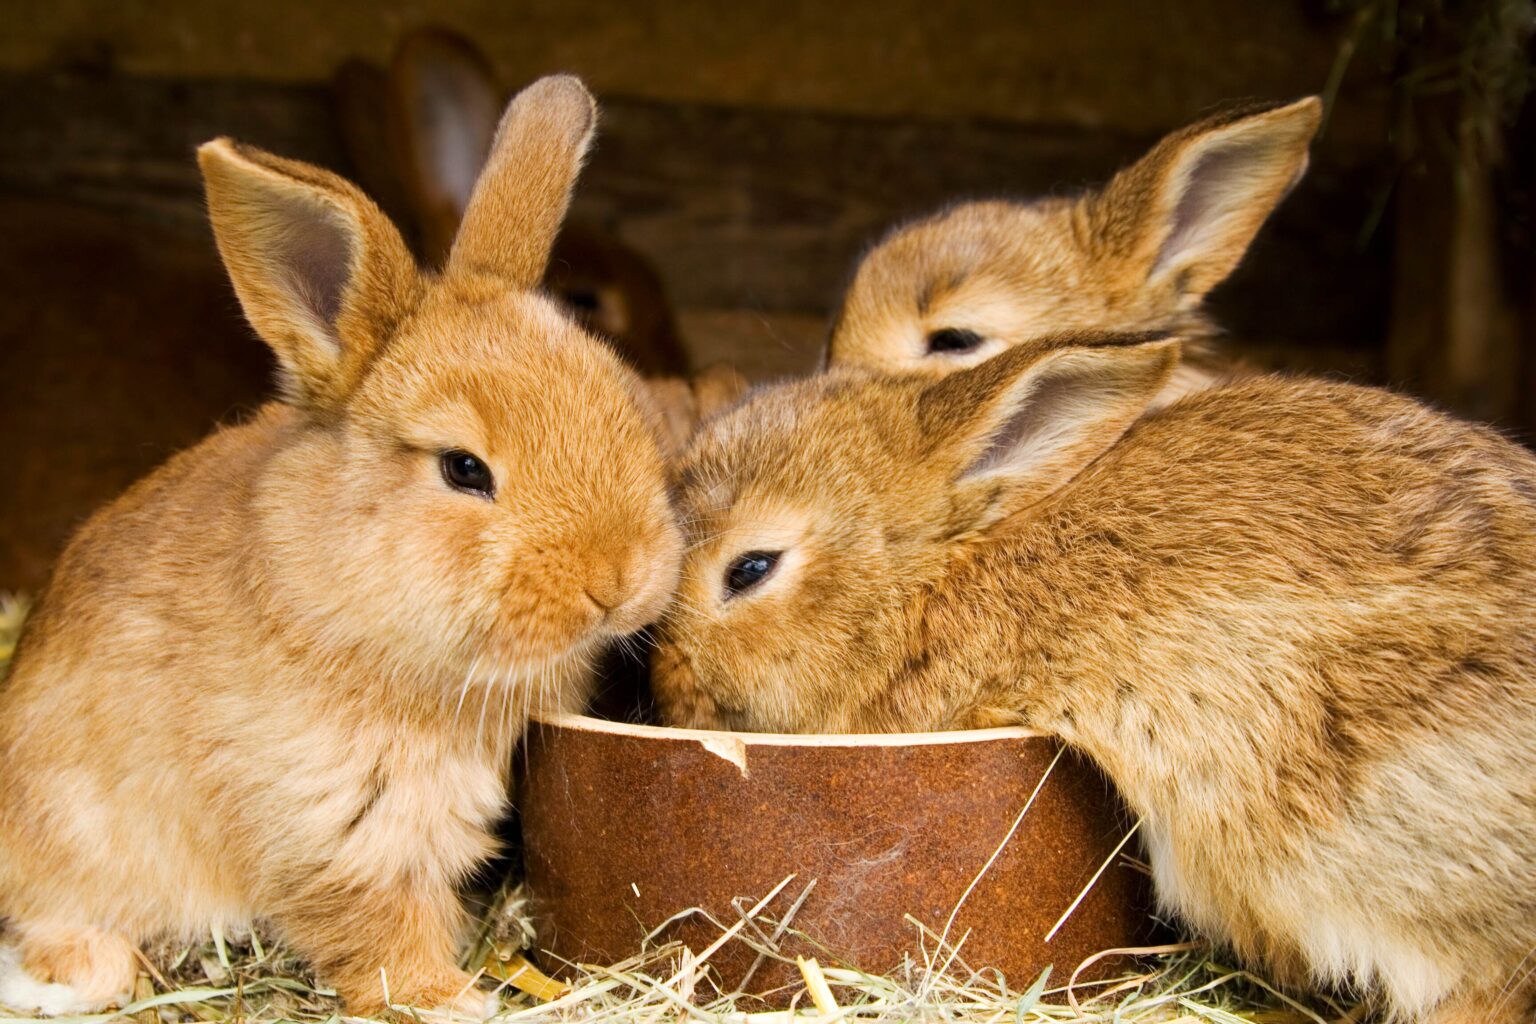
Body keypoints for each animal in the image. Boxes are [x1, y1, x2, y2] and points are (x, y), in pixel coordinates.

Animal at [0, 75, 682, 1018]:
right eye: (463, 469)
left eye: (621, 404)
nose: (619, 580)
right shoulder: (336, 821)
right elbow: (380, 927)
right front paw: (448, 999)